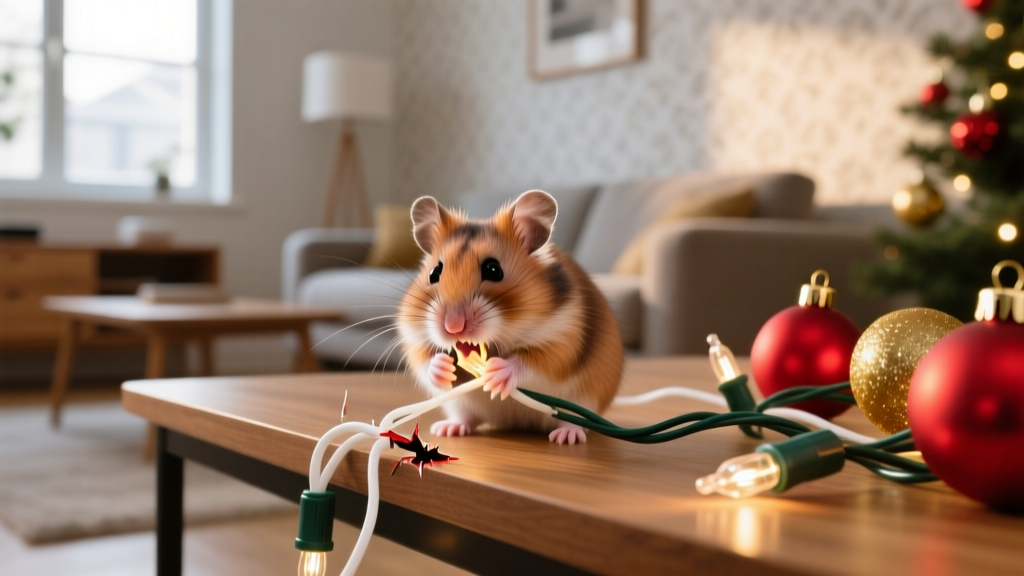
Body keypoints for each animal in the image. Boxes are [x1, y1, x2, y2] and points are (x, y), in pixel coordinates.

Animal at [397, 190, 623, 445]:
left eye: (493, 269)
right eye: (434, 273)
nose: (452, 327)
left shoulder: (564, 338)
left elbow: (531, 362)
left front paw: (495, 374)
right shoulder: (413, 337)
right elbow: (425, 360)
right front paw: (443, 368)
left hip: (584, 400)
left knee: (574, 421)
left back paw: (566, 437)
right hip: (458, 403)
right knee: (466, 417)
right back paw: (446, 429)